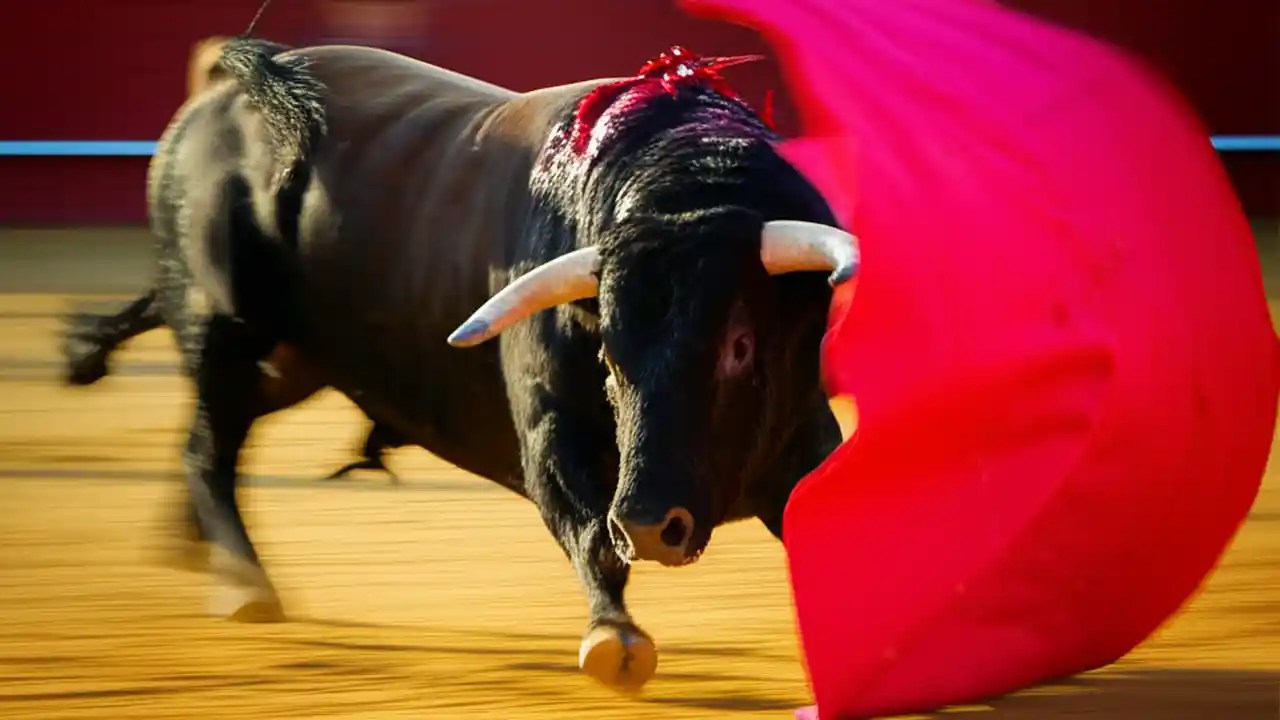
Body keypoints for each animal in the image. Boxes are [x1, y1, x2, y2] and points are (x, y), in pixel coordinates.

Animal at [121, 36, 858, 692]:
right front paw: (613, 640)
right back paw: (245, 584)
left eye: (741, 346)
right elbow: (589, 534)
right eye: (608, 352)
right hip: (222, 327)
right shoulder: (548, 433)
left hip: (291, 360)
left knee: (215, 433)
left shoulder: (802, 433)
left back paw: (192, 553)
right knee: (211, 447)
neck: (685, 188)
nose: (650, 529)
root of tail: (236, 88)